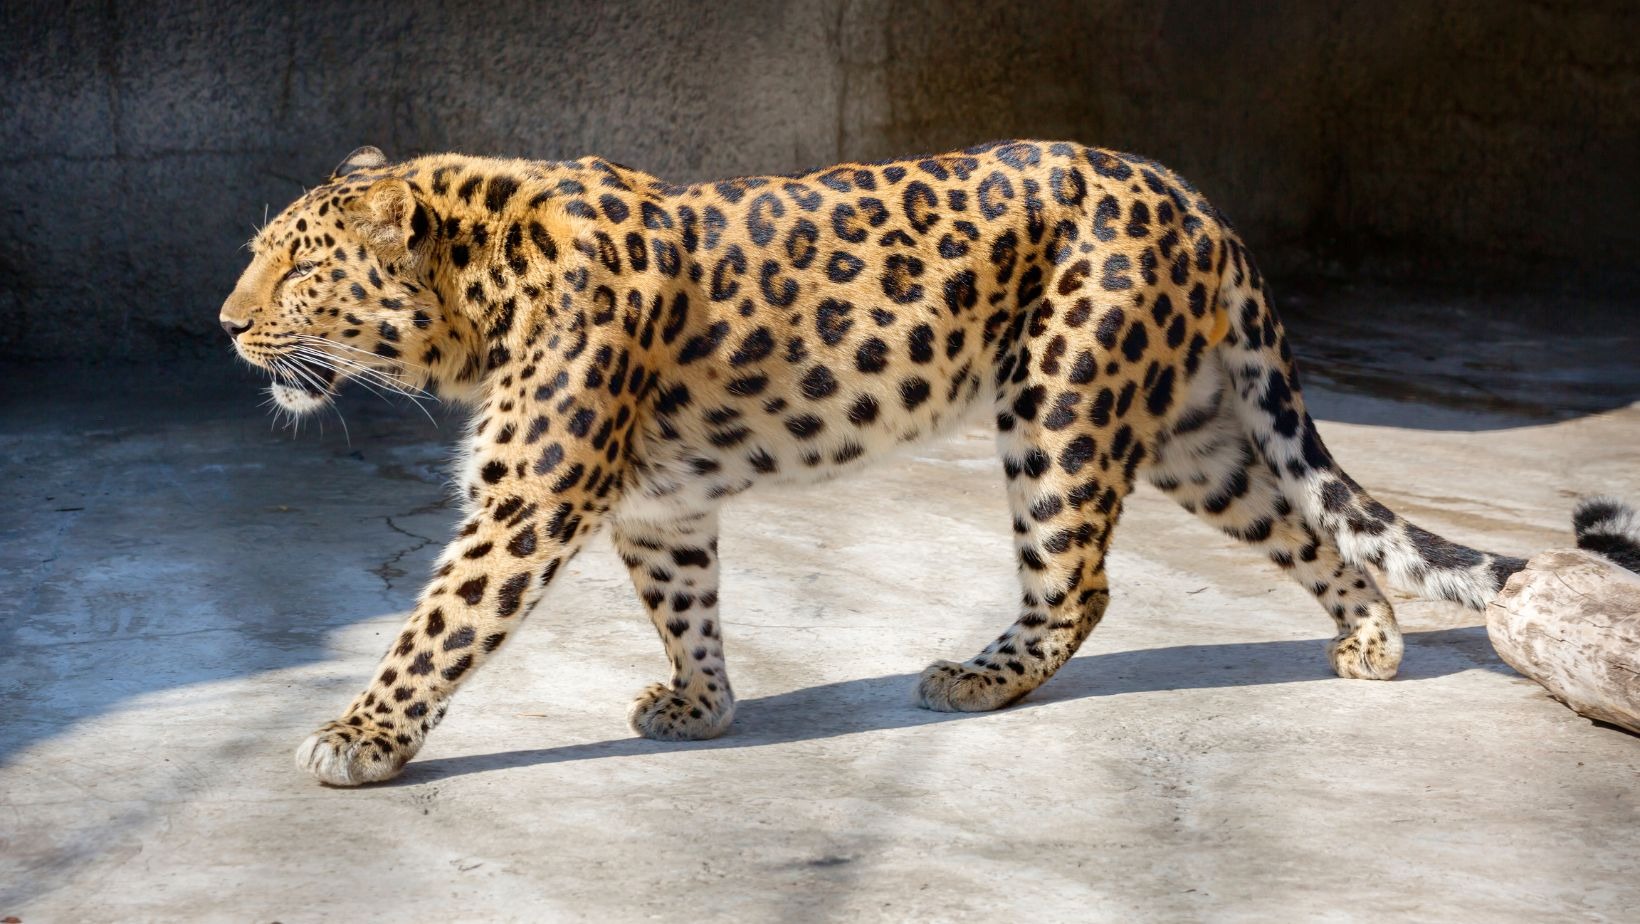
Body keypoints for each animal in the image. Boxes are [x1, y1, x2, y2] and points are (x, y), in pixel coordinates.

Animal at [219, 141, 1640, 786]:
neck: (475, 297)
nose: (228, 324)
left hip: (1061, 404)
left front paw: (358, 737)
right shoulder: (660, 504)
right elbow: (687, 603)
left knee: (1080, 584)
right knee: (1300, 524)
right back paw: (1364, 643)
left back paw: (974, 679)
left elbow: (437, 625)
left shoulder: (527, 501)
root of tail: (1191, 198)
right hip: (1194, 436)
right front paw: (702, 705)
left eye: (294, 268)